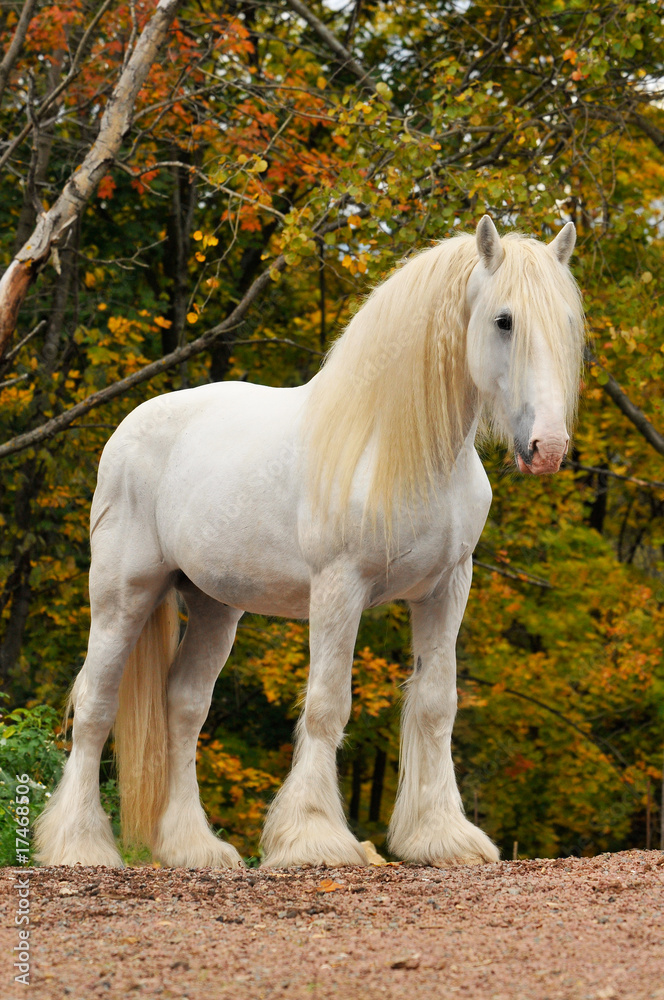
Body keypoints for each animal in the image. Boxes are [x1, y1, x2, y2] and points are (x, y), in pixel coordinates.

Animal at [35, 216, 584, 869]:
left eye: (569, 323)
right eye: (504, 320)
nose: (547, 448)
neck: (395, 446)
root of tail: (128, 428)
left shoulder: (446, 590)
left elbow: (436, 703)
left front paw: (441, 835)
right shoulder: (340, 587)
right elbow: (327, 705)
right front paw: (313, 837)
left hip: (215, 606)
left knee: (185, 708)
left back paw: (195, 848)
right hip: (124, 594)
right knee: (96, 705)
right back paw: (79, 845)